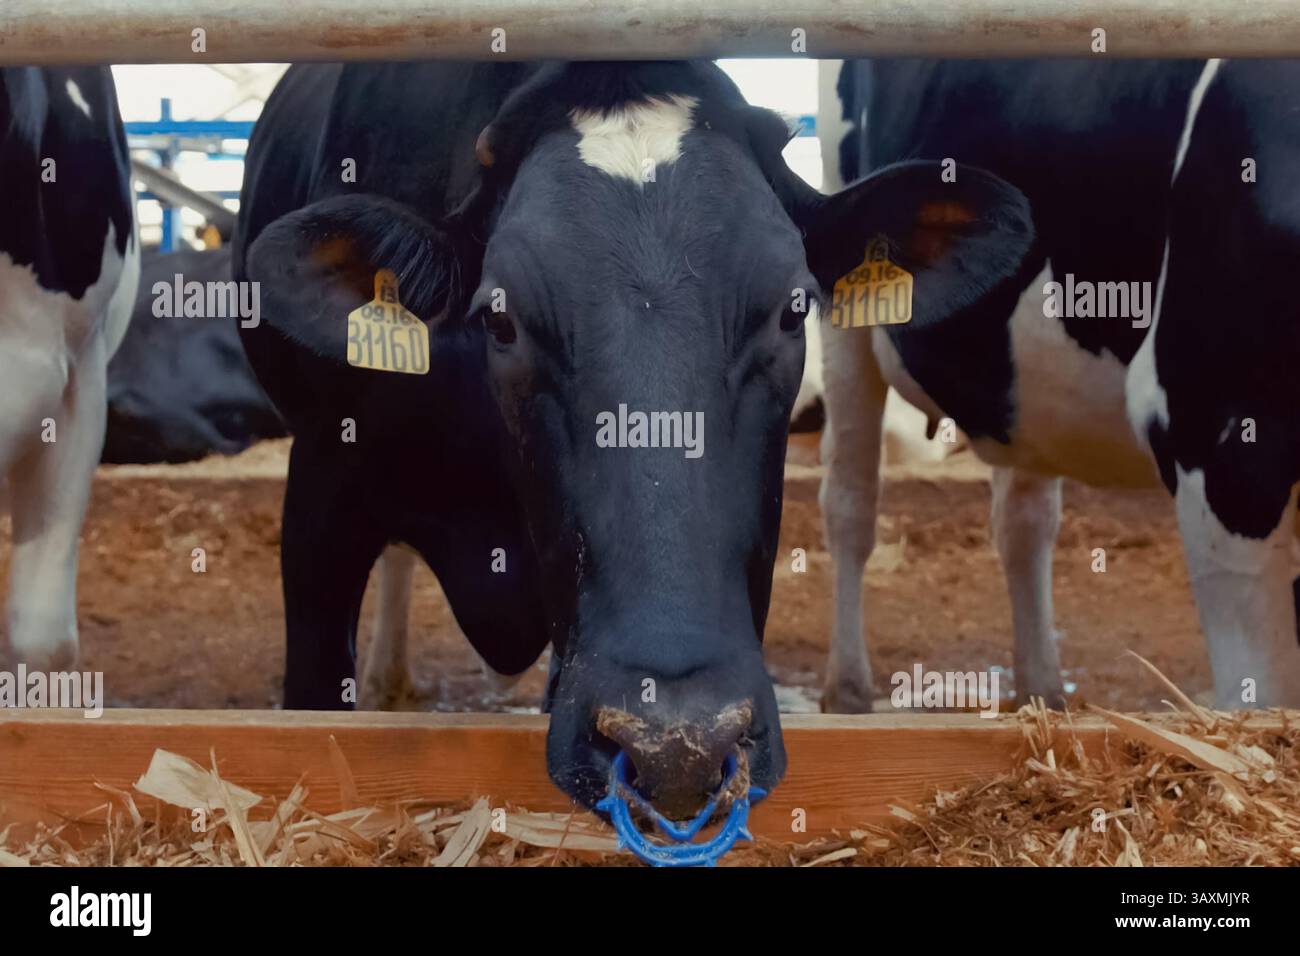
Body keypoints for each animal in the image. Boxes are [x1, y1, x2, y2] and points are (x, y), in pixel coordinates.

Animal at [822, 58, 1300, 713]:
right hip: (842, 296)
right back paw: (847, 689)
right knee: (850, 498)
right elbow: (1261, 695)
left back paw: (1042, 693)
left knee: (1022, 521)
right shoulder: (1210, 422)